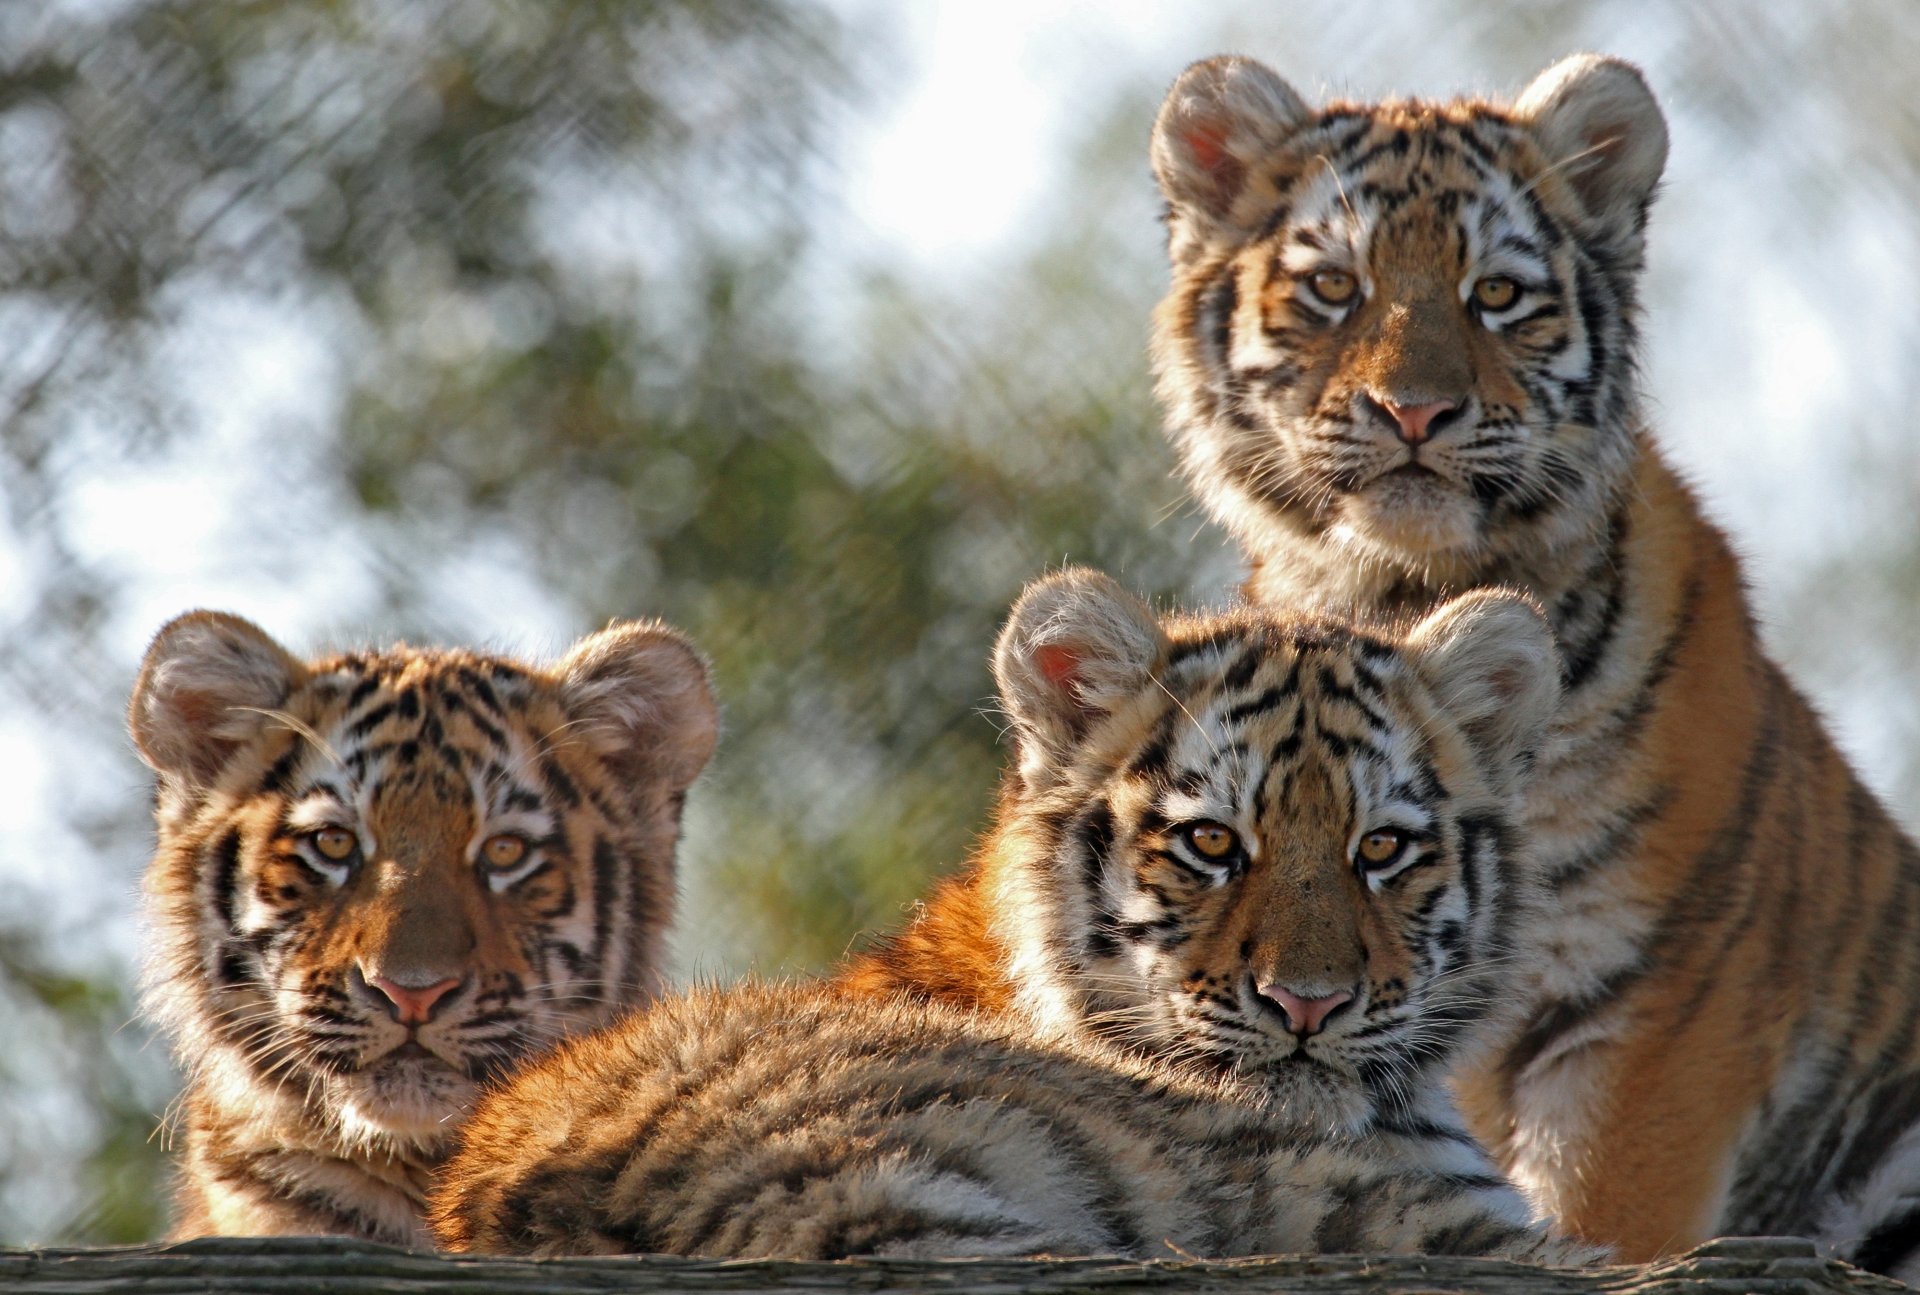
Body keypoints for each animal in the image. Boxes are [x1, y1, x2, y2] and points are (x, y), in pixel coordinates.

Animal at [1144, 51, 1920, 1274]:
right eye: (1335, 287)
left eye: (1497, 295)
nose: (1413, 409)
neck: (1403, 591)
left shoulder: (1657, 1001)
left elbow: (1607, 1212)